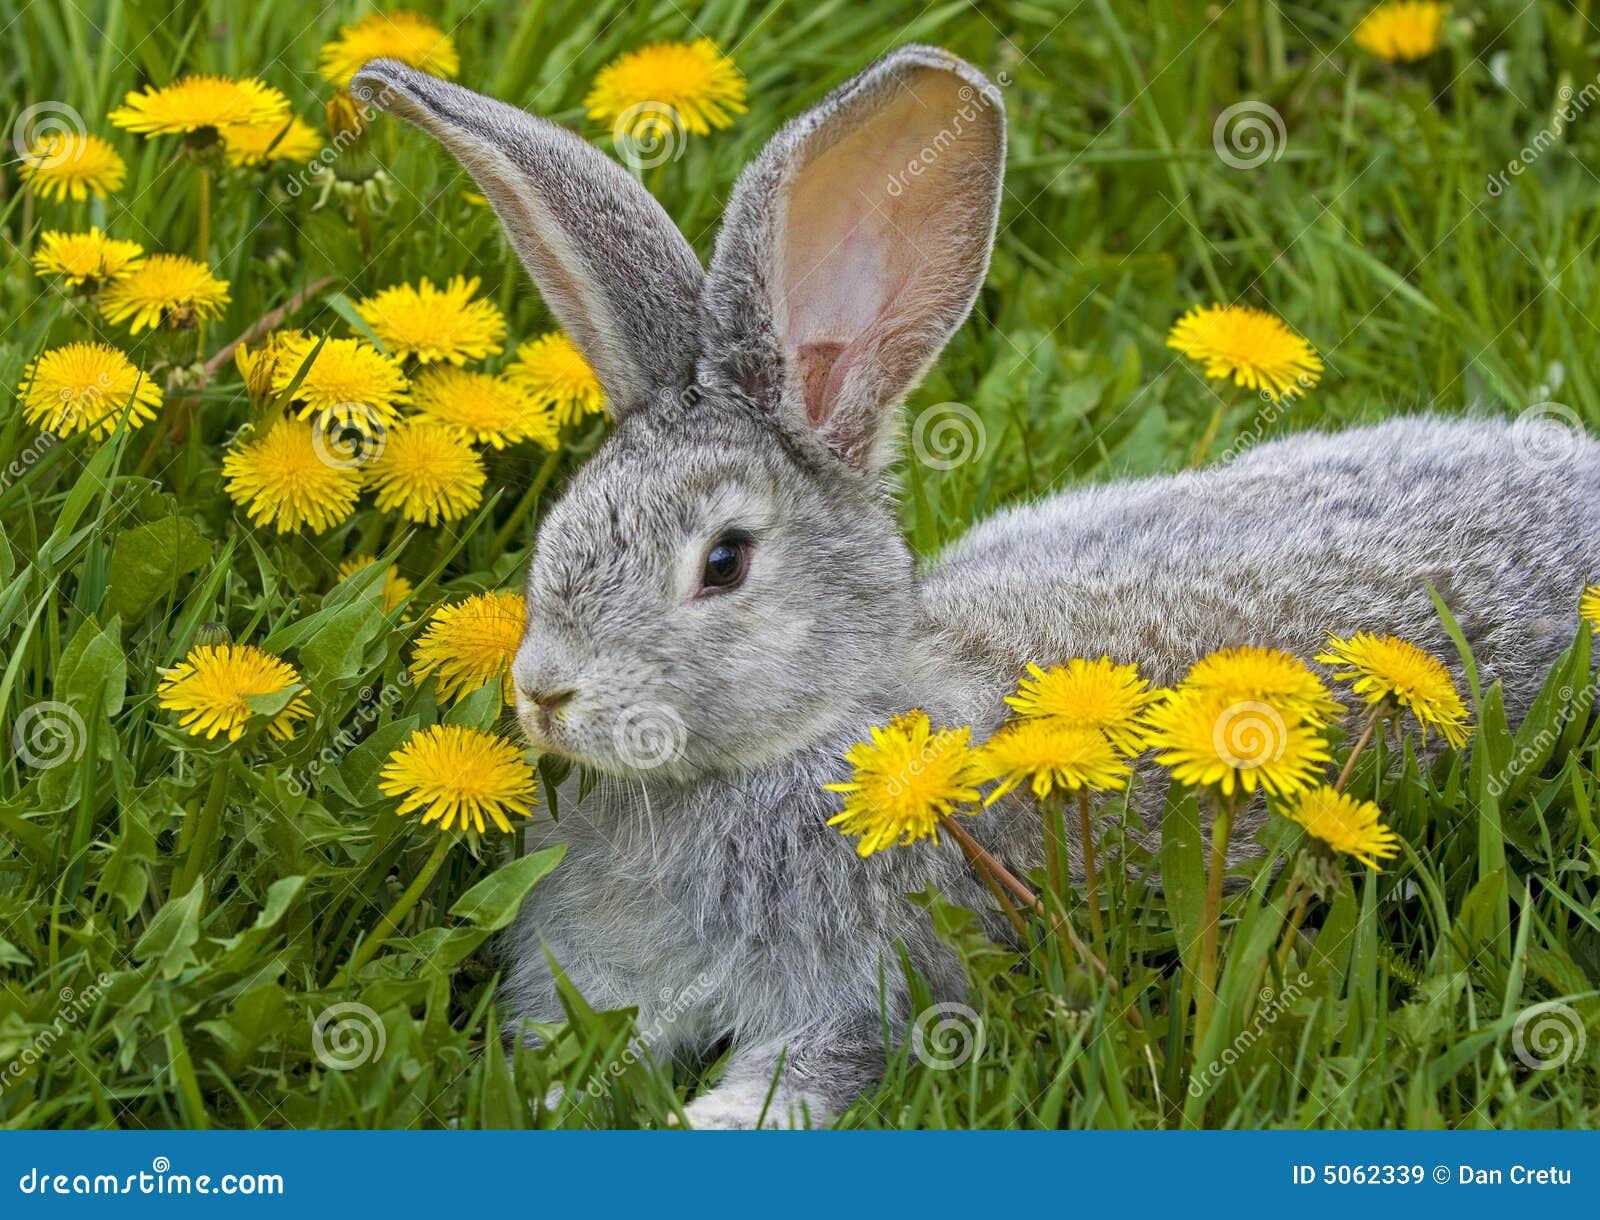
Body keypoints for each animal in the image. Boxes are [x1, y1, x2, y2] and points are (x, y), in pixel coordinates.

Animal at [351, 47, 1600, 1129]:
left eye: (724, 562)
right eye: (563, 521)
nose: (544, 691)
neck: (789, 740)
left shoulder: (875, 990)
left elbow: (803, 1074)